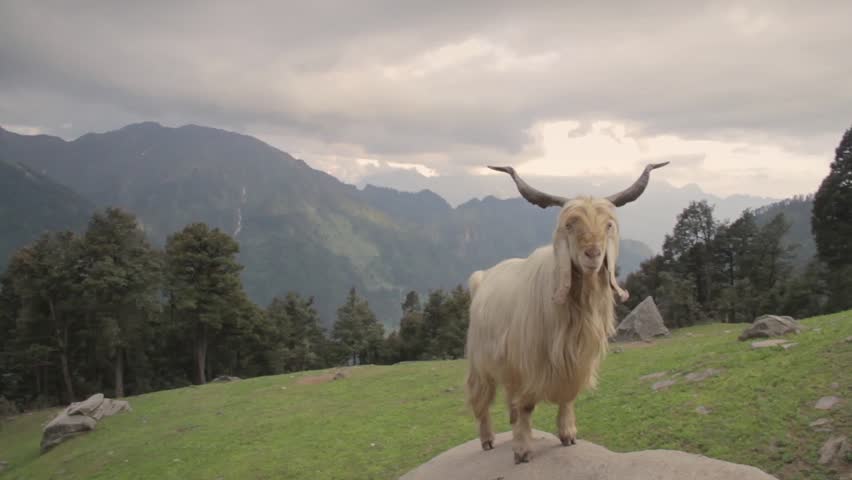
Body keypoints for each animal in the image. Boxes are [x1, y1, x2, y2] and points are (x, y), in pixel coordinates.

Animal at [465, 162, 668, 463]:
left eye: (608, 225)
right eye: (571, 225)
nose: (593, 254)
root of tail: (481, 278)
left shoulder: (573, 362)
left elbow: (567, 397)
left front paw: (568, 435)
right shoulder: (529, 363)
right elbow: (526, 406)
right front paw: (522, 450)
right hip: (480, 363)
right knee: (483, 400)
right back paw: (488, 440)